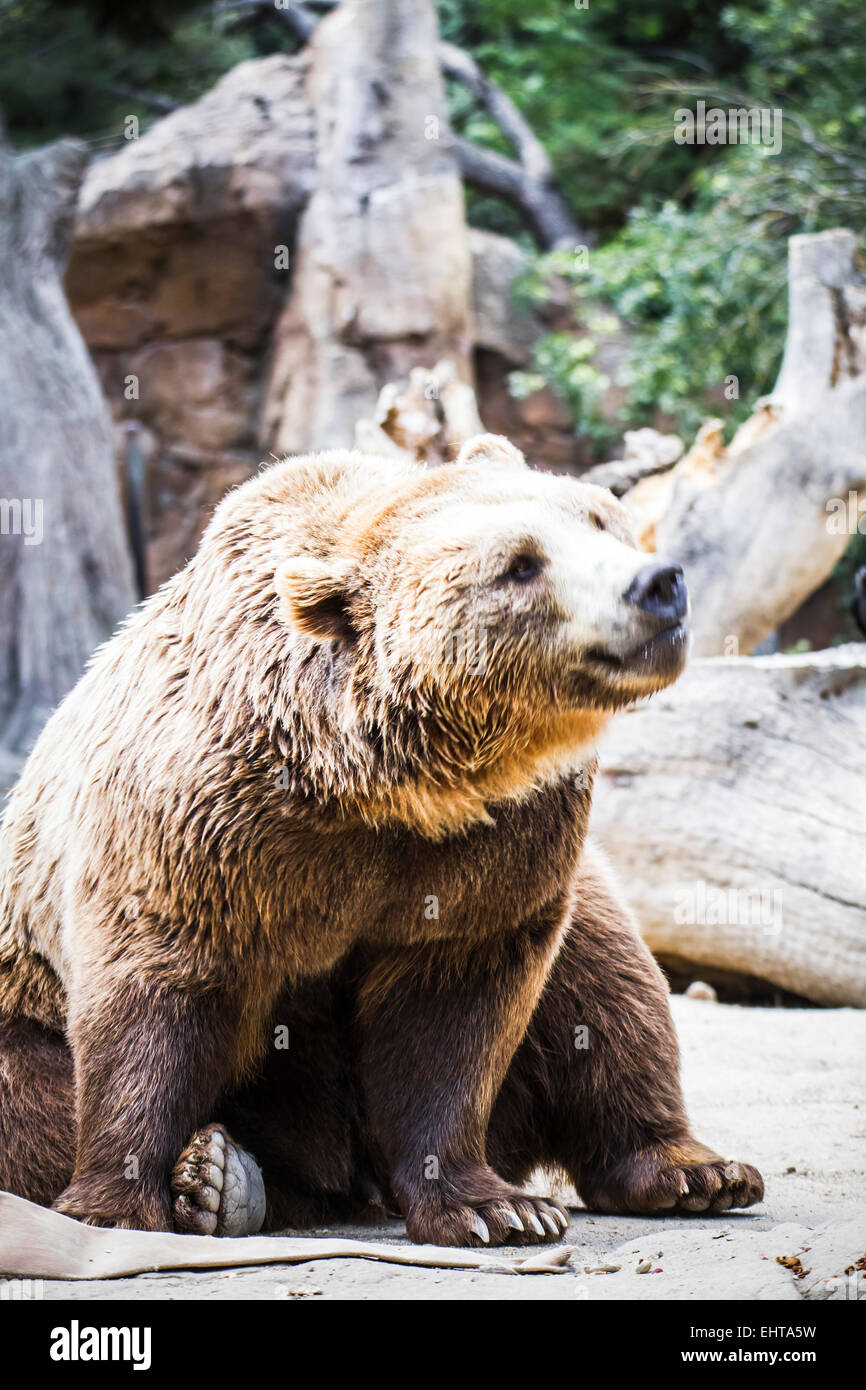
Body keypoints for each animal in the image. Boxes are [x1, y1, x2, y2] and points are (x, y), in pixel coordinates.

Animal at [0, 433, 763, 1245]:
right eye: (521, 563)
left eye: (599, 519)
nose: (657, 583)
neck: (386, 785)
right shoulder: (199, 824)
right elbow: (152, 989)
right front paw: (115, 1206)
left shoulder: (503, 841)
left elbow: (452, 1010)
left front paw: (496, 1208)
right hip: (21, 1013)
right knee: (32, 1110)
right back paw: (221, 1179)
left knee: (609, 980)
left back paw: (694, 1171)